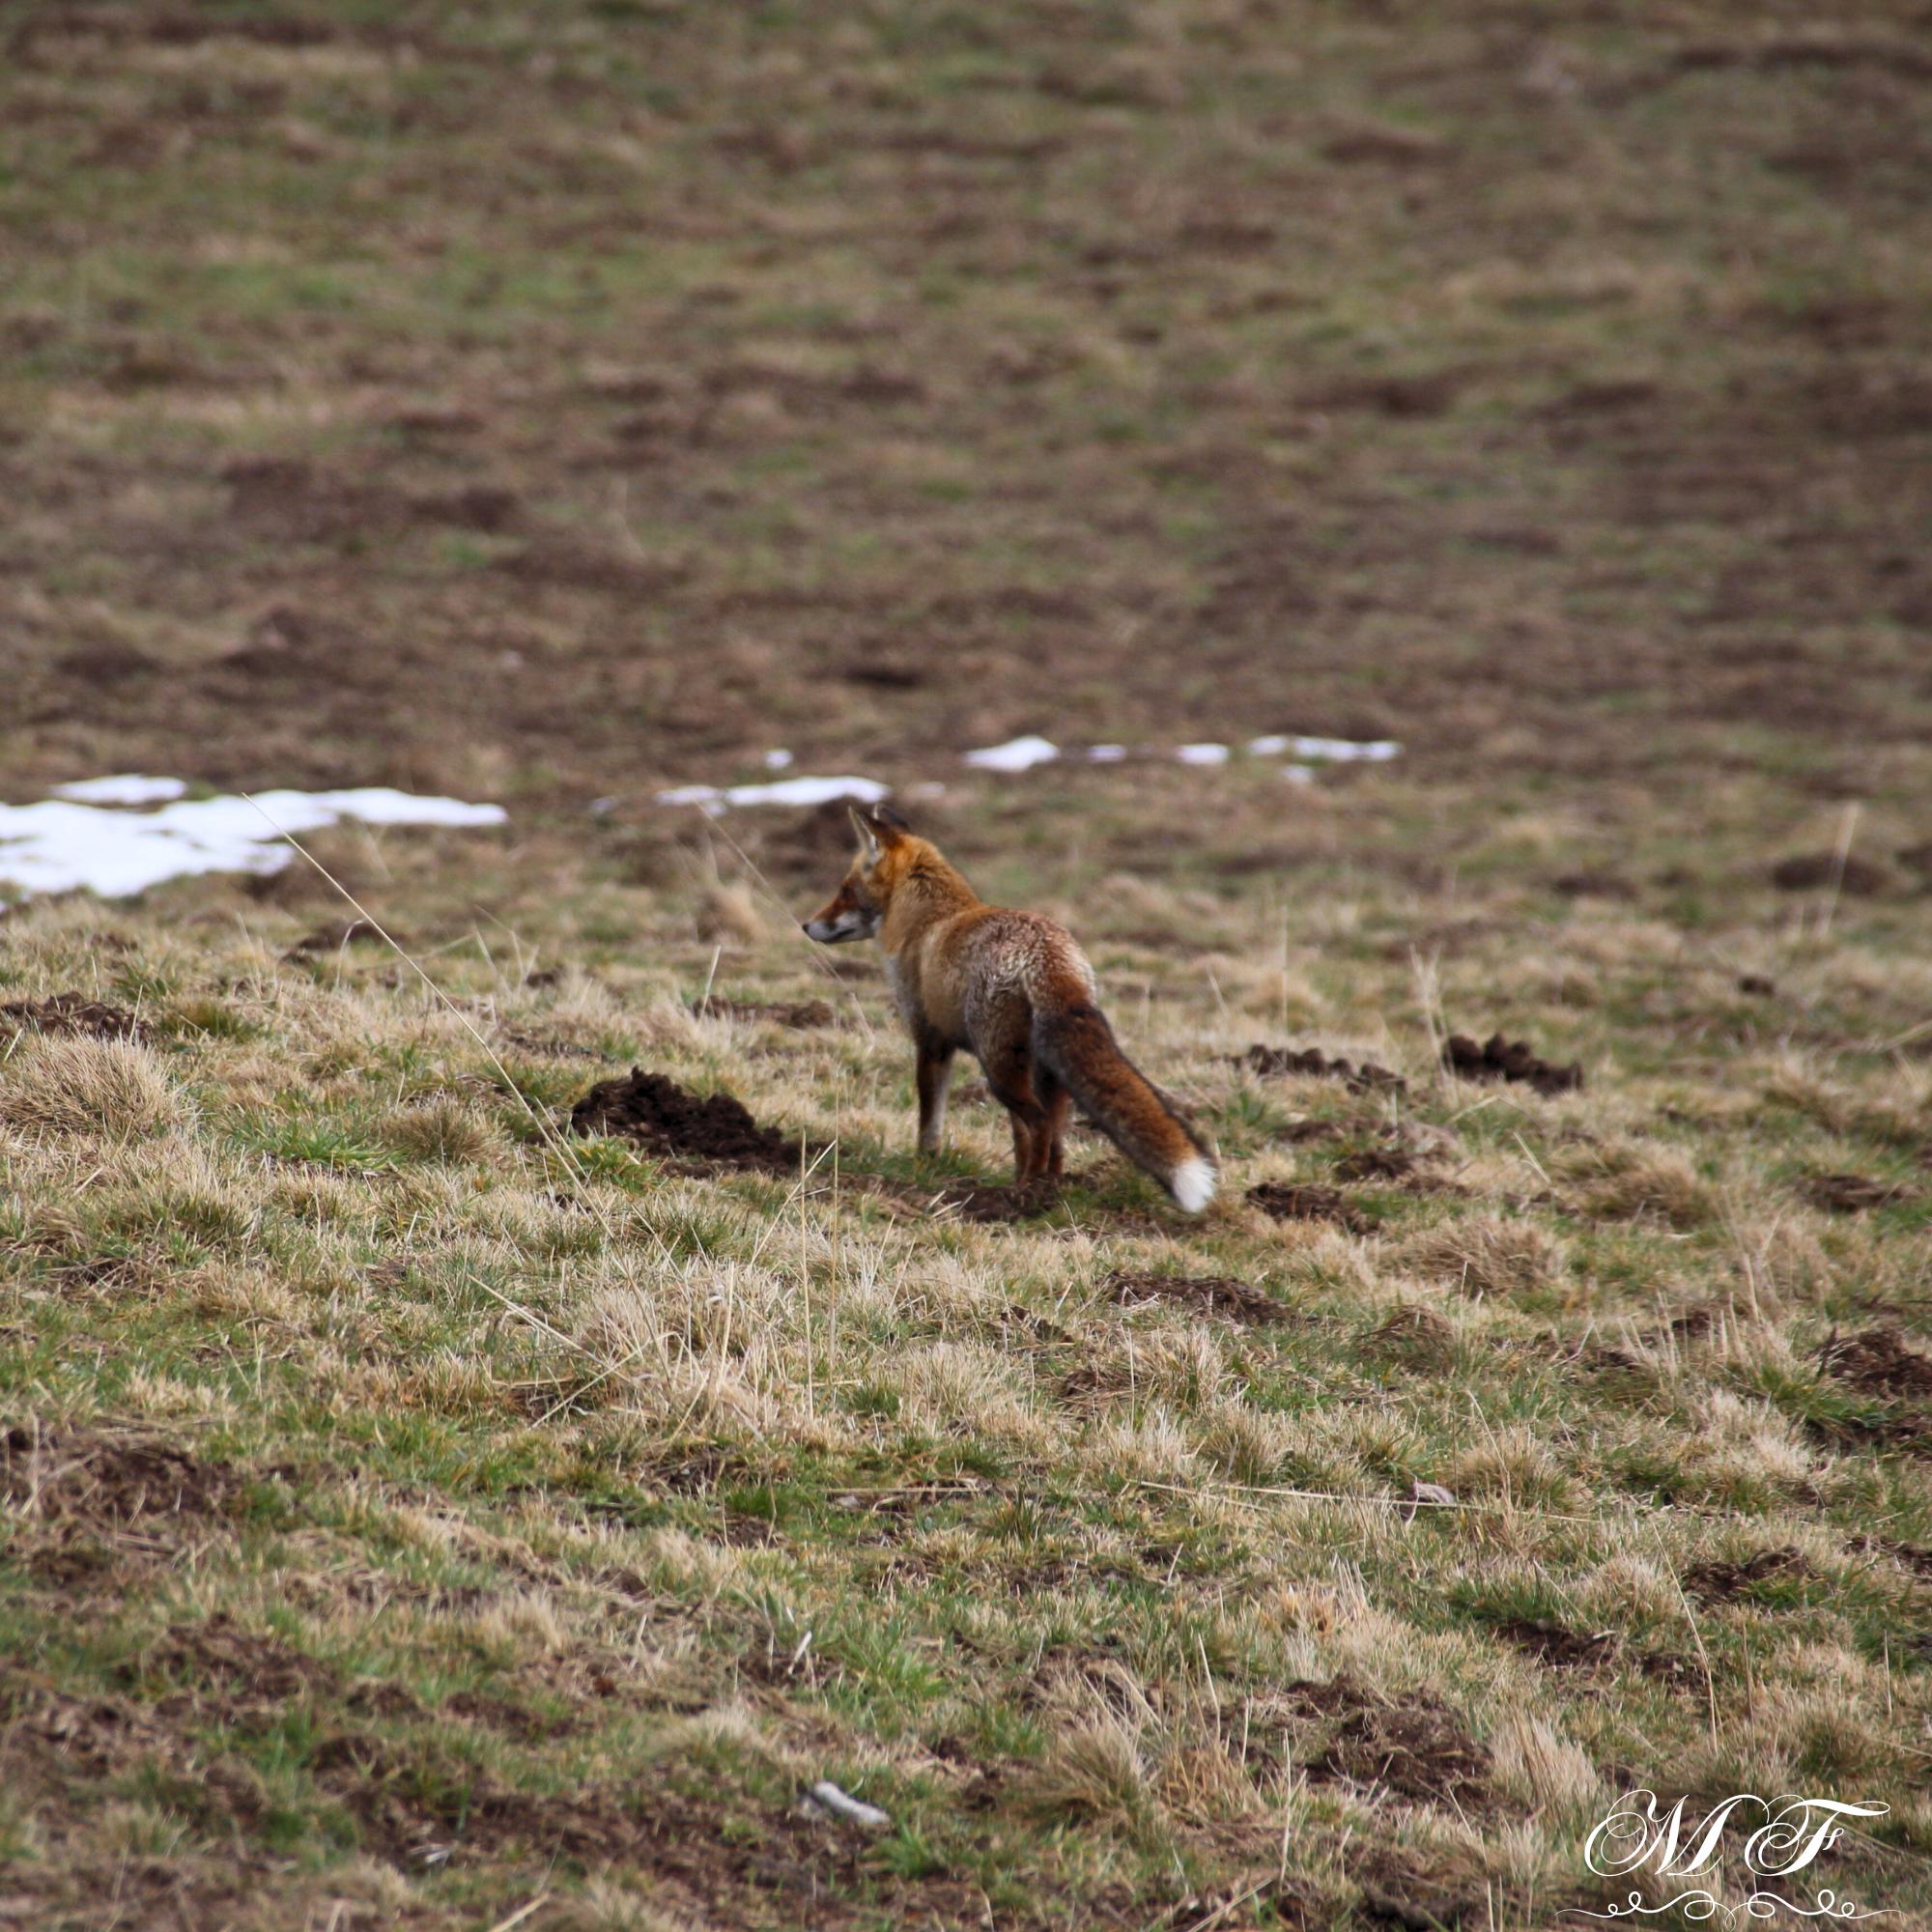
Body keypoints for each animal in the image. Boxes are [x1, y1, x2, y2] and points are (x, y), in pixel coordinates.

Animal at [803, 804, 1215, 1212]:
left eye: (845, 890)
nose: (808, 925)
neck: (928, 920)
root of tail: (1050, 957)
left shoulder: (931, 1041)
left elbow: (929, 1121)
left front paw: (924, 1164)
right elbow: (1016, 1136)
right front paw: (1014, 1173)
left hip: (999, 1070)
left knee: (1041, 1124)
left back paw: (1029, 1193)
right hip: (1042, 1071)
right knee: (1054, 1133)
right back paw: (1048, 1187)